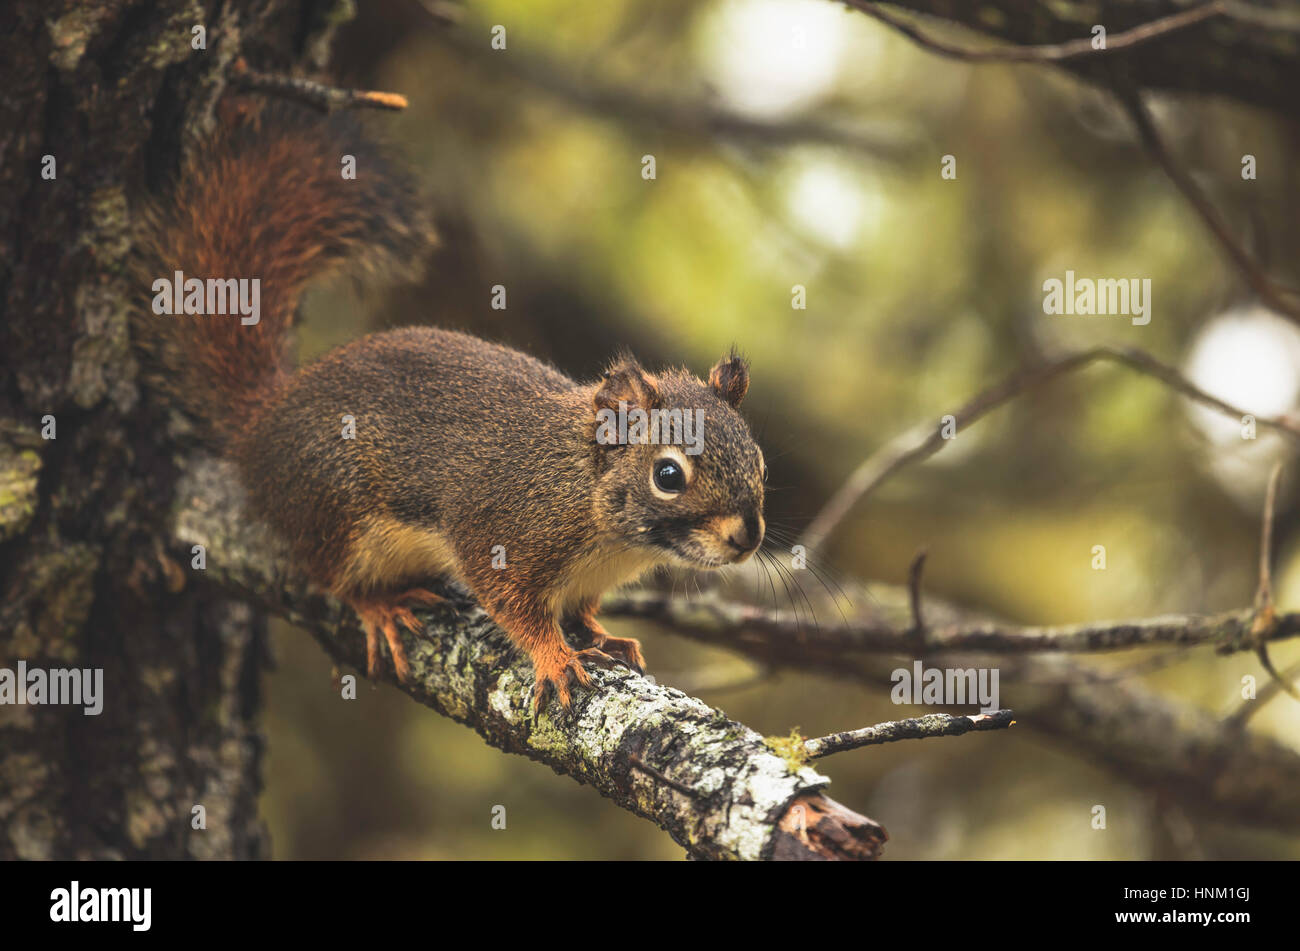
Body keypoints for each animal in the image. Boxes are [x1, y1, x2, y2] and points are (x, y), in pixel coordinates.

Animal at [135, 98, 767, 709]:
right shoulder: (501, 536)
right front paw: (555, 657)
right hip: (335, 506)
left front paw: (602, 634)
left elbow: (583, 611)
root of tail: (263, 423)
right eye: (668, 475)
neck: (594, 511)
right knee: (330, 578)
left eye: (761, 463)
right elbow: (516, 609)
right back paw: (380, 607)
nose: (747, 538)